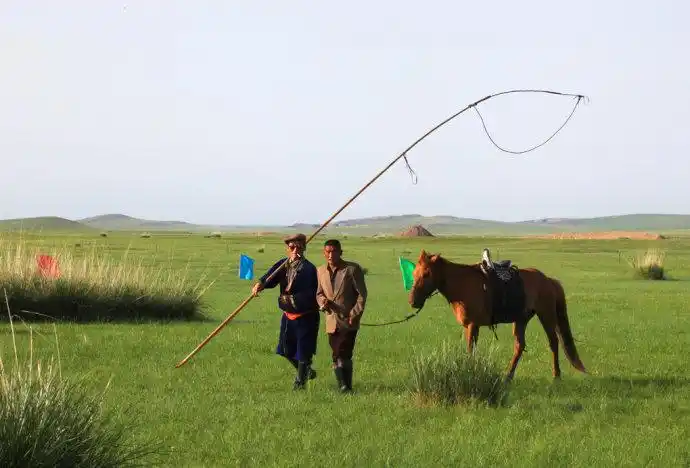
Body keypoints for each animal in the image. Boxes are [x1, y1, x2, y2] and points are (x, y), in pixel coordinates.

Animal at [408, 249, 587, 381]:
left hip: (546, 315)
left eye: (426, 274)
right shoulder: (470, 326)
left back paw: (556, 376)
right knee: (519, 346)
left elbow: (470, 349)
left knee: (553, 342)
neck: (462, 284)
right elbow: (471, 349)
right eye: (414, 273)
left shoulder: (473, 325)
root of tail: (548, 280)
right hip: (521, 320)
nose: (412, 301)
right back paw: (508, 376)